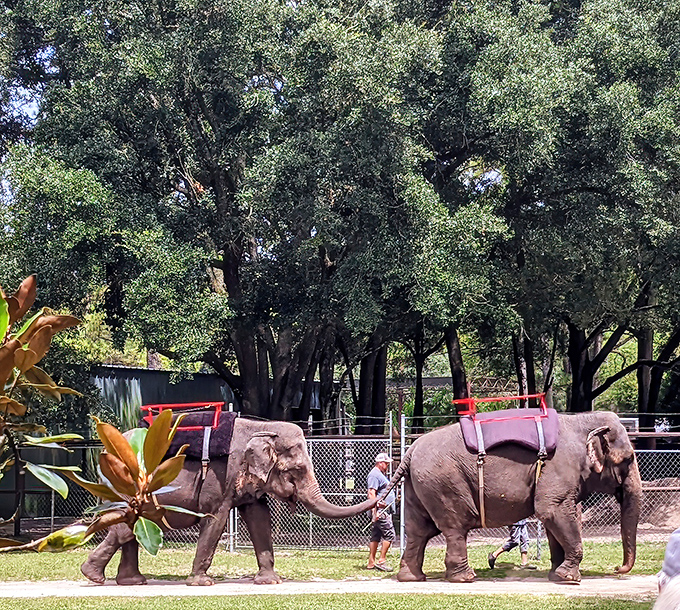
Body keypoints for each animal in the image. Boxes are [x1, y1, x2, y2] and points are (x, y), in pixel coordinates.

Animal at [80, 417, 377, 586]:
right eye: (297, 470)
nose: (379, 501)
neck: (263, 428)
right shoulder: (221, 477)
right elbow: (216, 517)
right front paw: (202, 583)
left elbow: (258, 518)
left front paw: (271, 582)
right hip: (124, 485)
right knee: (125, 527)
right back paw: (93, 576)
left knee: (130, 529)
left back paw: (131, 582)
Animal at [378, 410, 642, 583]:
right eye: (628, 459)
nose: (617, 569)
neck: (582, 419)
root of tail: (410, 451)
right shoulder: (559, 468)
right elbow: (550, 510)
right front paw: (569, 578)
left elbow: (552, 518)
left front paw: (555, 576)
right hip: (444, 483)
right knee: (454, 527)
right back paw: (465, 578)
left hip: (420, 484)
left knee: (418, 529)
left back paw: (412, 578)